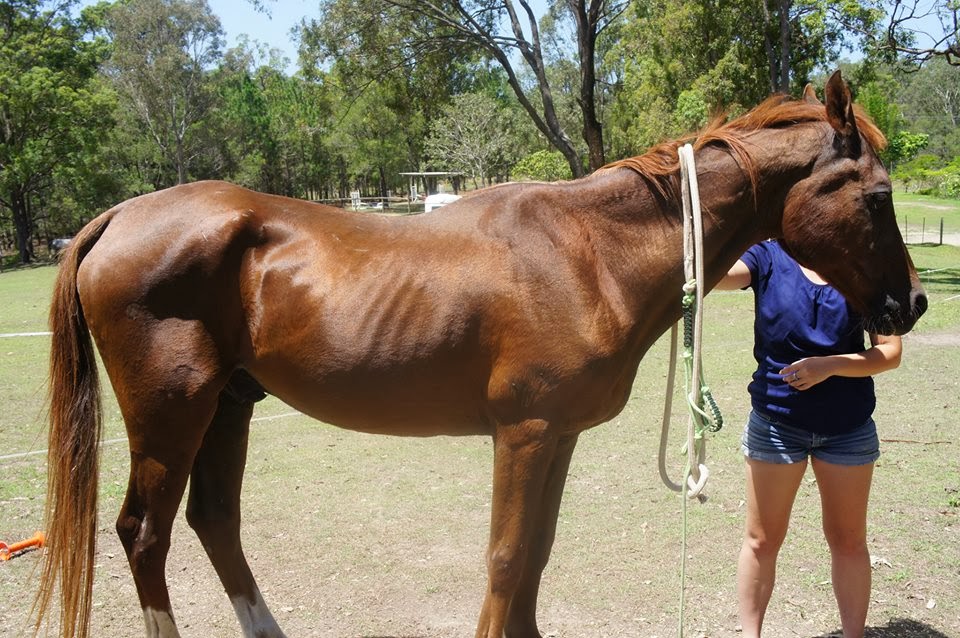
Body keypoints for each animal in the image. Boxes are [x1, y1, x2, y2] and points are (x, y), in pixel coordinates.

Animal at [34, 71, 925, 638]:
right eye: (878, 197)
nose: (911, 304)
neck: (589, 251)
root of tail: (117, 217)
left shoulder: (556, 438)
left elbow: (535, 555)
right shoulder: (523, 436)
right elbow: (504, 559)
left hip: (228, 407)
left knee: (215, 523)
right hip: (171, 416)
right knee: (144, 536)